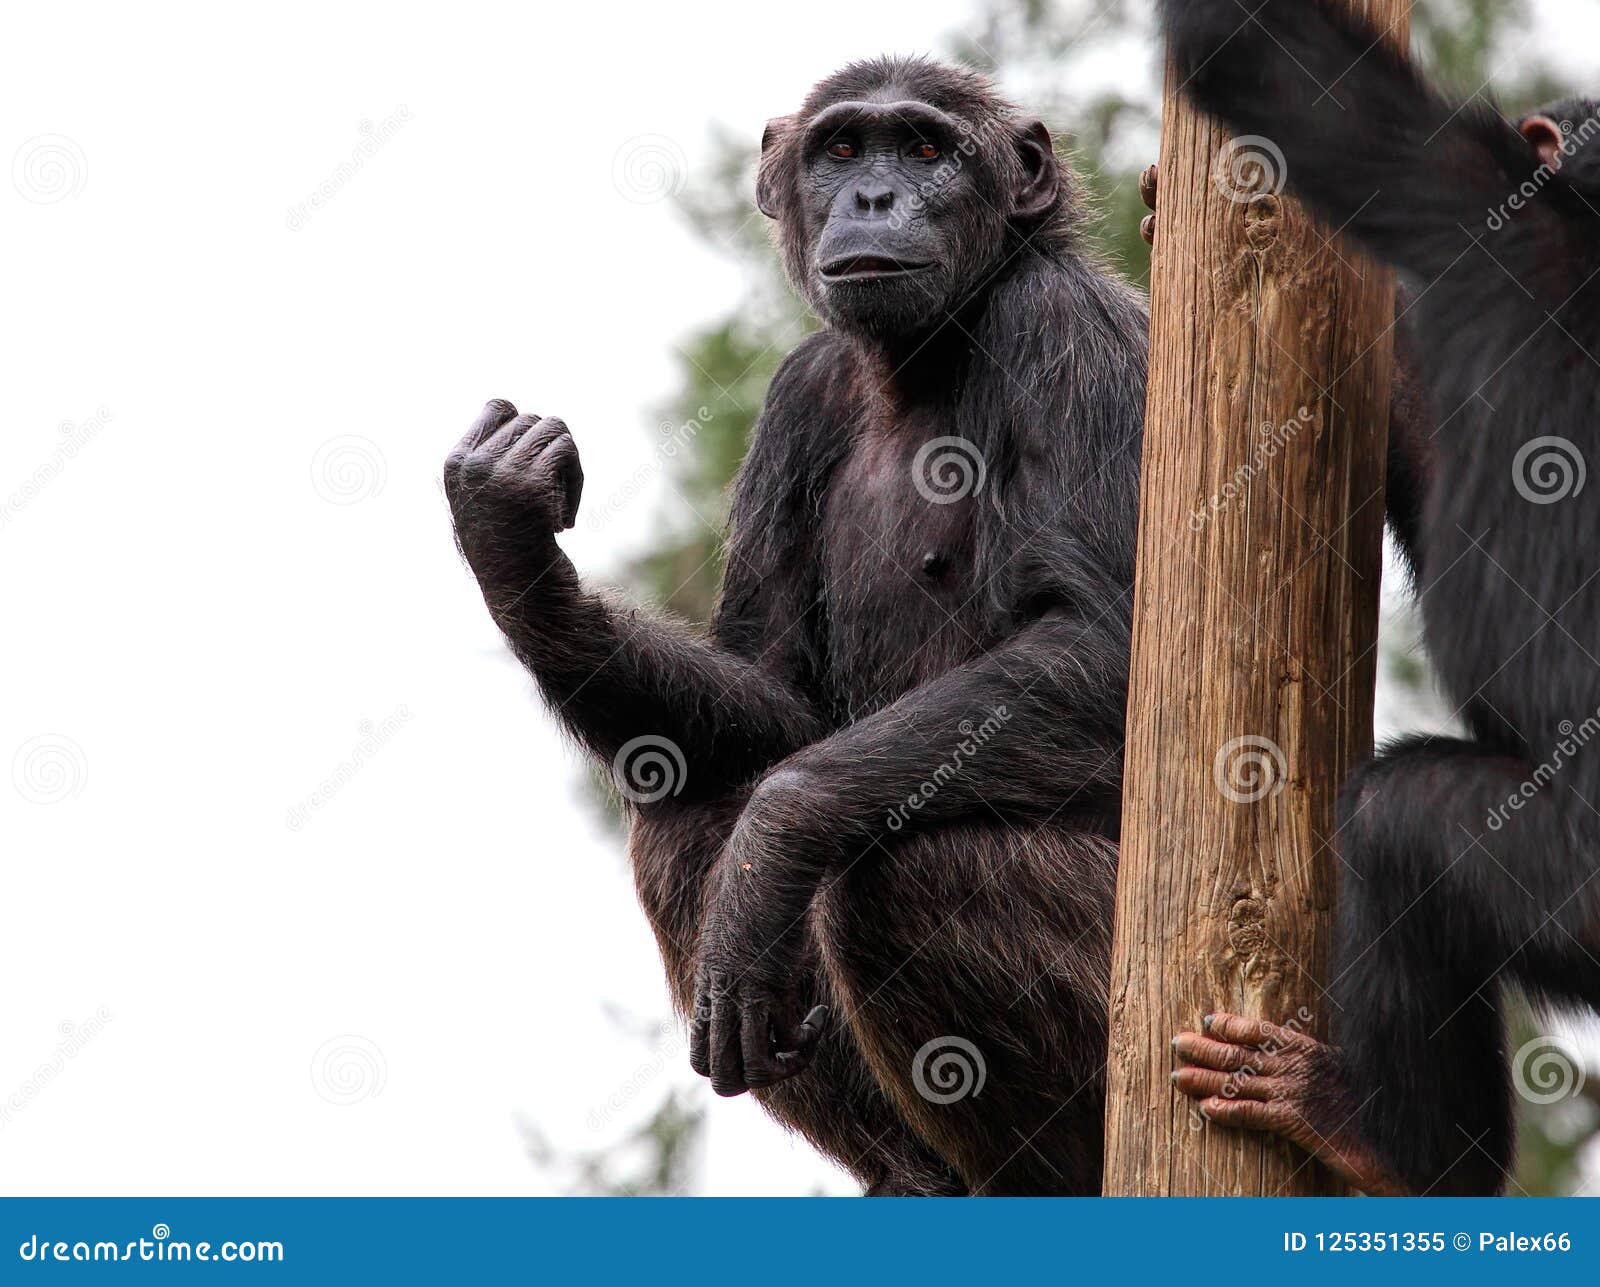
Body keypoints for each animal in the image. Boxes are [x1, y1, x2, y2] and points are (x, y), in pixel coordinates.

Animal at [444, 56, 1149, 1195]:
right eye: (841, 149)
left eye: (924, 148)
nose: (874, 197)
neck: (924, 355)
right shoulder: (795, 397)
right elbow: (775, 696)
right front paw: (510, 540)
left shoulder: (1063, 336)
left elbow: (1101, 643)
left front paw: (771, 852)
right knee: (685, 809)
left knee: (907, 877)